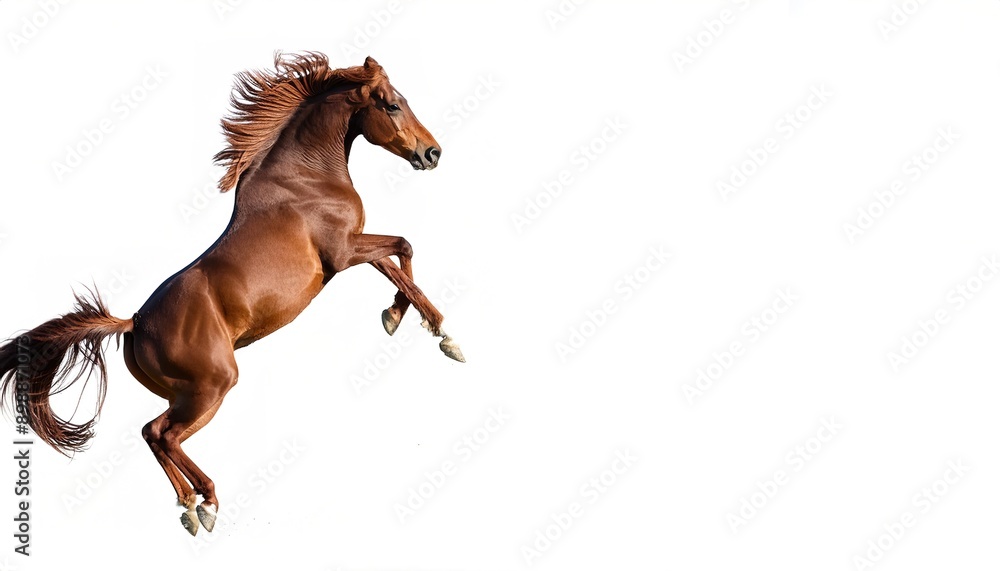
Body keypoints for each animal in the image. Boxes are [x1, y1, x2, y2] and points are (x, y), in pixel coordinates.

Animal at [0, 52, 464, 536]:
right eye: (392, 105)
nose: (432, 153)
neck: (306, 177)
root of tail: (135, 323)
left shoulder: (352, 248)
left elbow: (398, 263)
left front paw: (397, 318)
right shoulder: (343, 251)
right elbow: (403, 249)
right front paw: (442, 333)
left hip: (187, 395)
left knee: (152, 432)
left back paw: (189, 506)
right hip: (213, 387)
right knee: (162, 434)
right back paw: (206, 502)